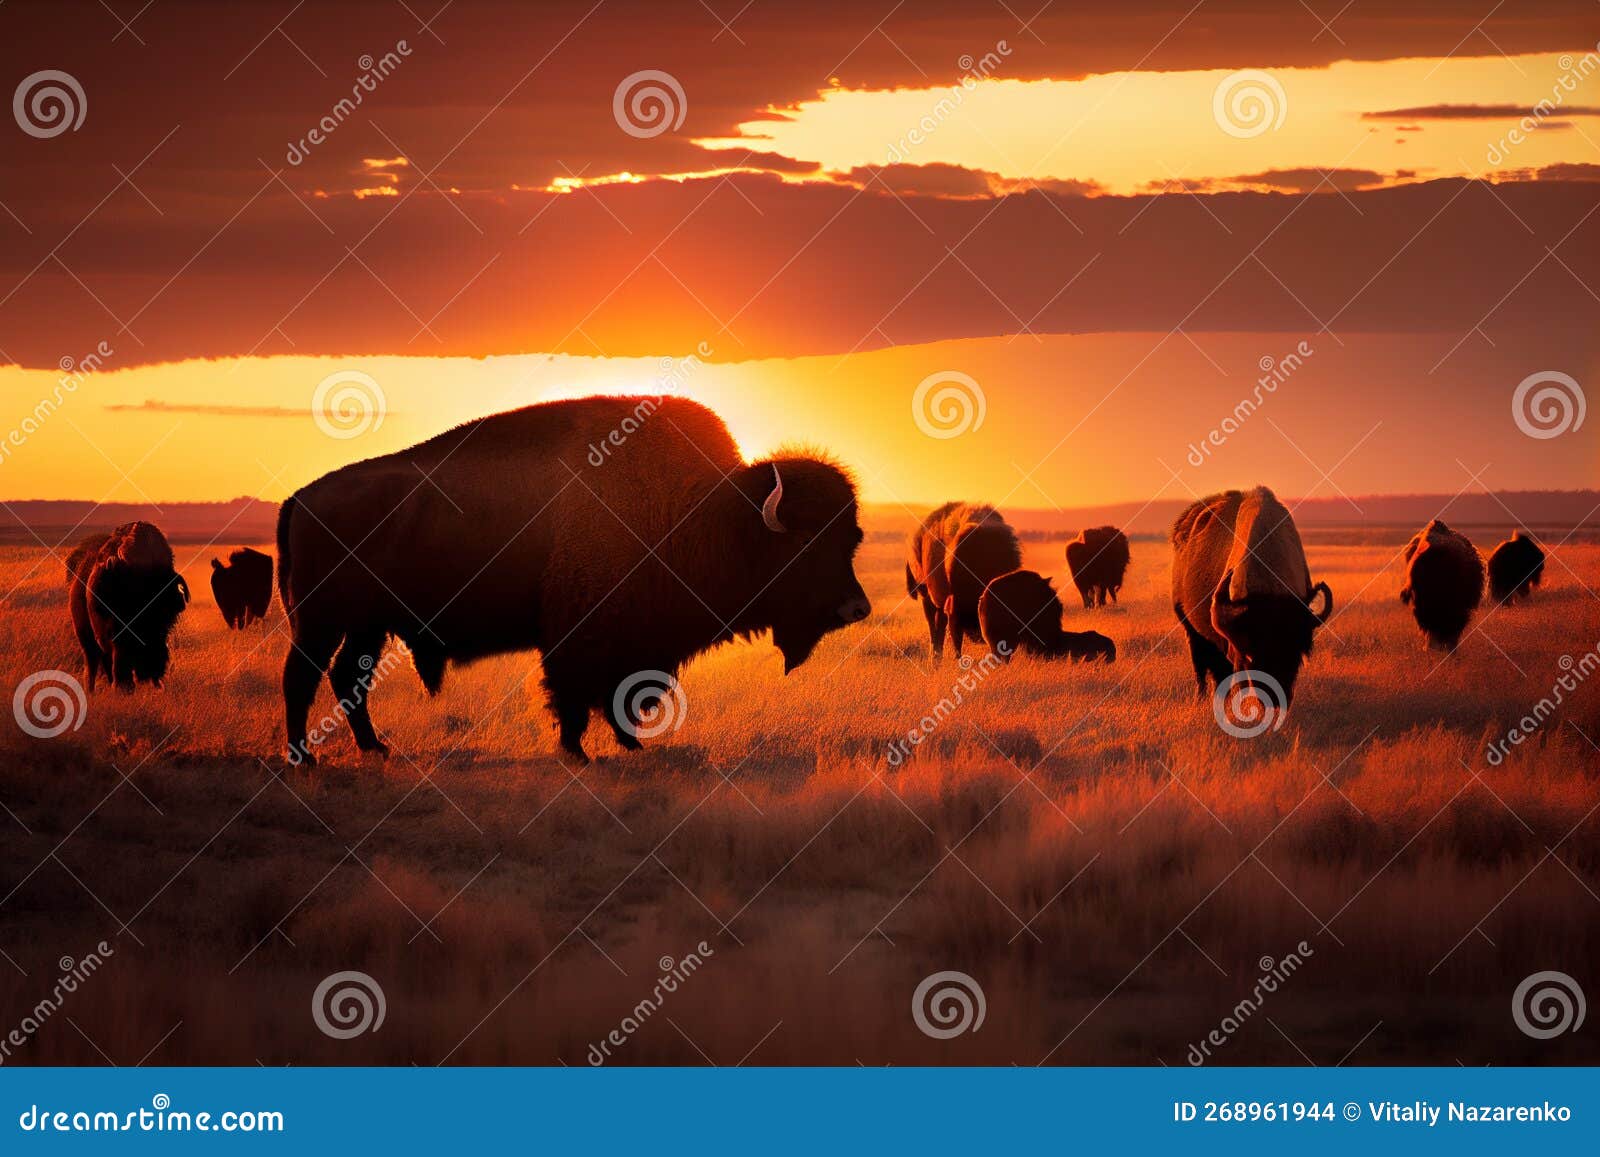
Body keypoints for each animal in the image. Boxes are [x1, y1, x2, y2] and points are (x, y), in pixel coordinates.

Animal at [66, 521, 190, 691]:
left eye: (167, 607)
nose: (152, 670)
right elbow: (119, 654)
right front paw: (123, 686)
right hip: (85, 637)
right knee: (92, 663)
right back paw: (93, 689)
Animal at [276, 396, 871, 765]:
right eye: (806, 544)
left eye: (852, 539)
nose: (856, 608)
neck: (706, 516)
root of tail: (299, 499)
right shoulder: (577, 637)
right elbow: (576, 694)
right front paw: (578, 752)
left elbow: (626, 695)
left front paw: (630, 746)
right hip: (320, 623)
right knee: (302, 678)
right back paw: (306, 759)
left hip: (366, 625)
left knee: (348, 678)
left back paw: (375, 749)